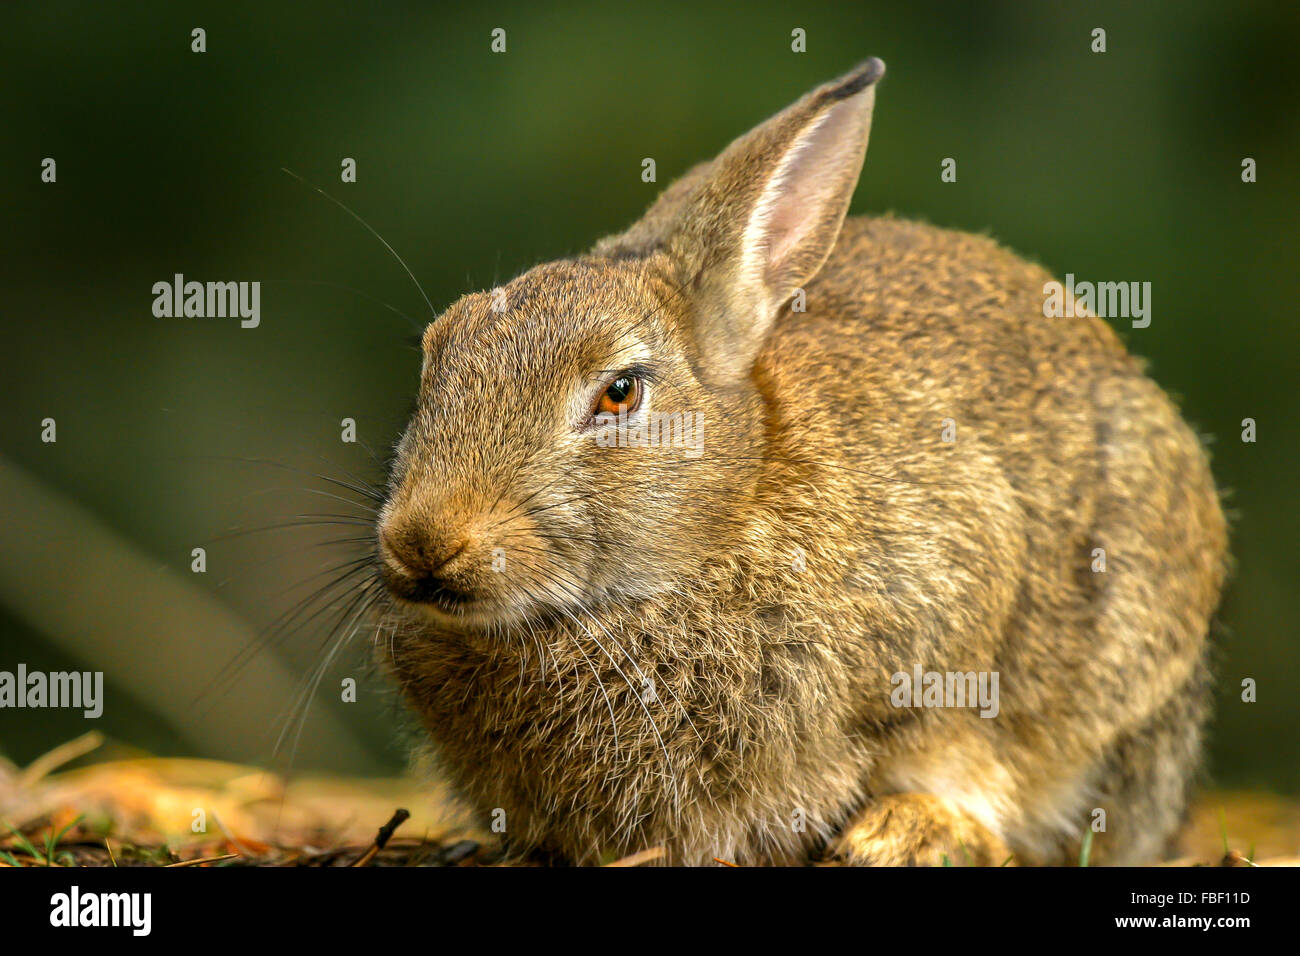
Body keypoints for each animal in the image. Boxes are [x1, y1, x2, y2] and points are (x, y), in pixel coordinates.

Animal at [373, 58, 1228, 866]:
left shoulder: (963, 627)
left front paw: (909, 832)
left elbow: (962, 754)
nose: (422, 541)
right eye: (433, 359)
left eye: (619, 393)